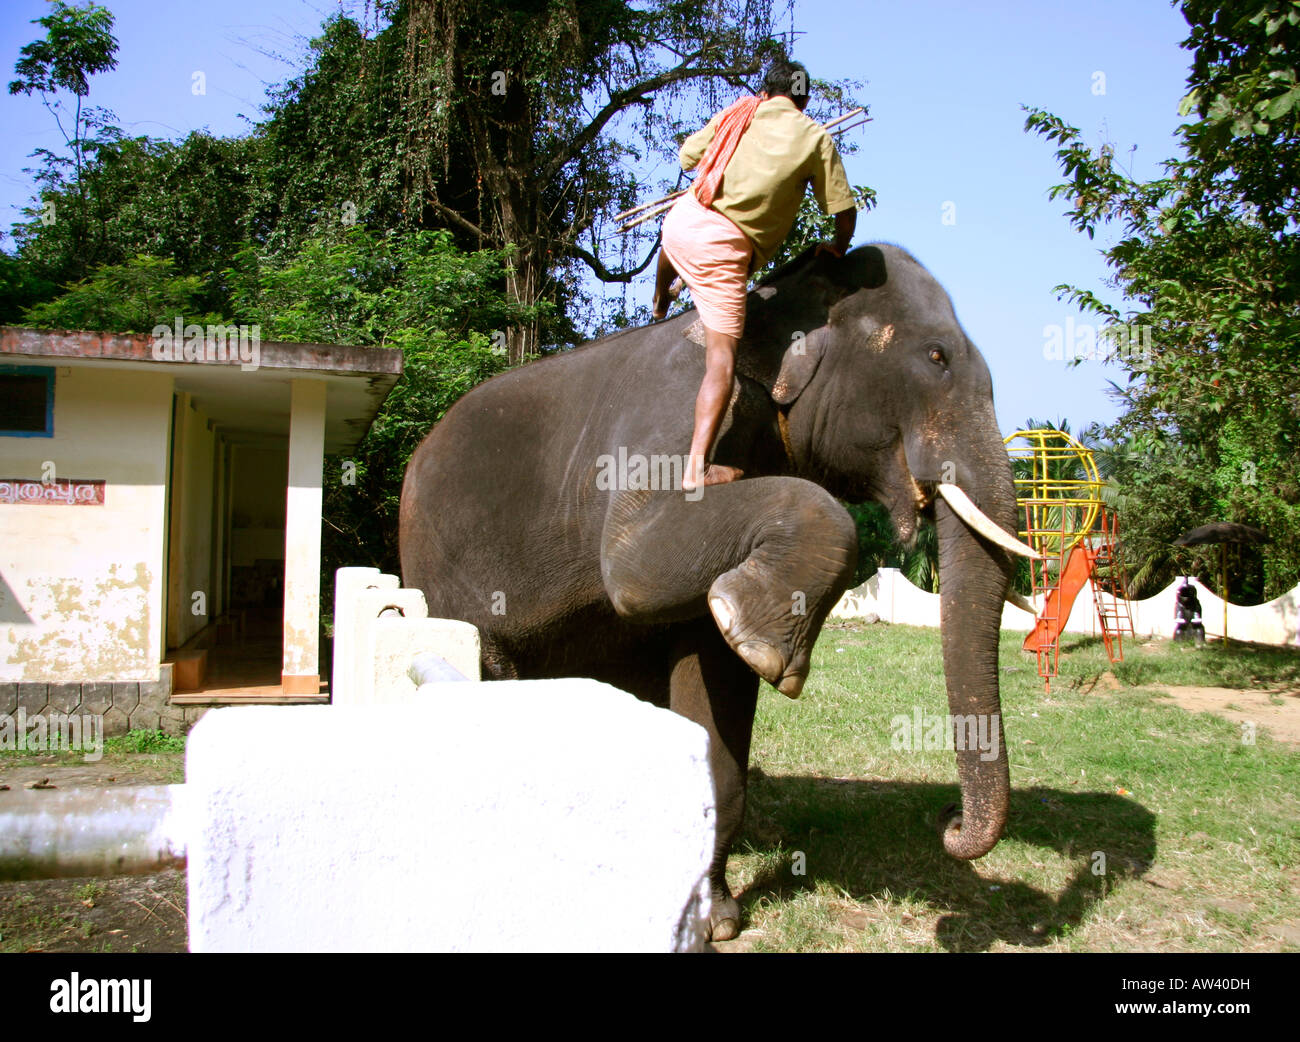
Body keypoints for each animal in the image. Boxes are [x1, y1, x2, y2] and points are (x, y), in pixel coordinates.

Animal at [398, 243, 1038, 941]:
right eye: (937, 356)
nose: (950, 822)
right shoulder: (675, 410)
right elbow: (632, 565)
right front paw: (775, 658)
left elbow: (714, 670)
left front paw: (717, 922)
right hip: (436, 570)